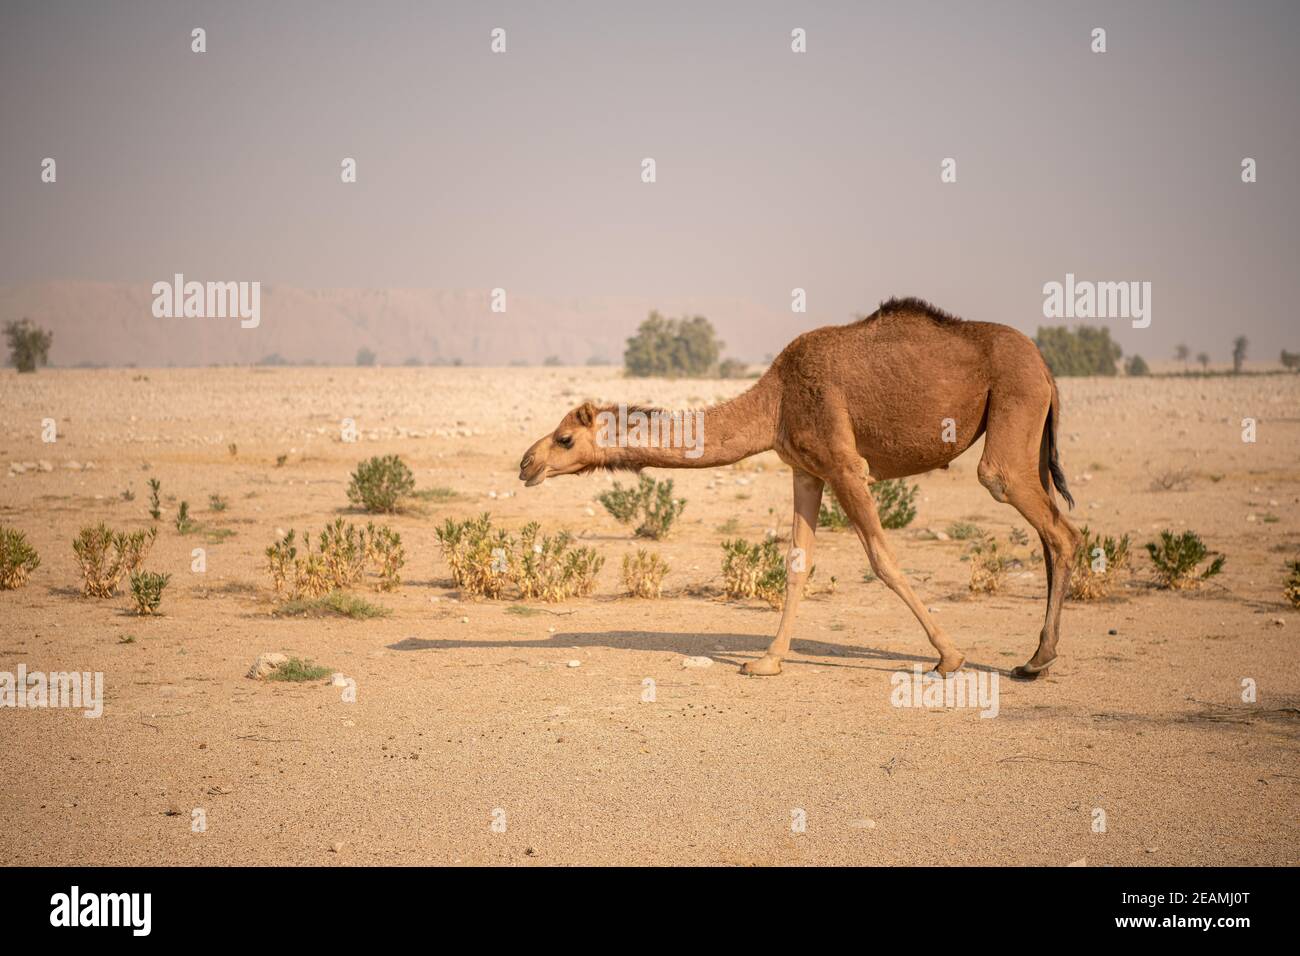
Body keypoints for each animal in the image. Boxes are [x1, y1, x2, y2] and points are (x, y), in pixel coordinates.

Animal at [518, 297, 1082, 679]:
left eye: (565, 438)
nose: (526, 463)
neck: (775, 400)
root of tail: (1044, 365)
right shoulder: (806, 470)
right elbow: (796, 563)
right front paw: (767, 661)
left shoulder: (846, 465)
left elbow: (883, 559)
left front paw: (950, 656)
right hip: (1029, 433)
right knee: (1052, 531)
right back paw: (1038, 657)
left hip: (1014, 408)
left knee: (1049, 522)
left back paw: (1036, 661)